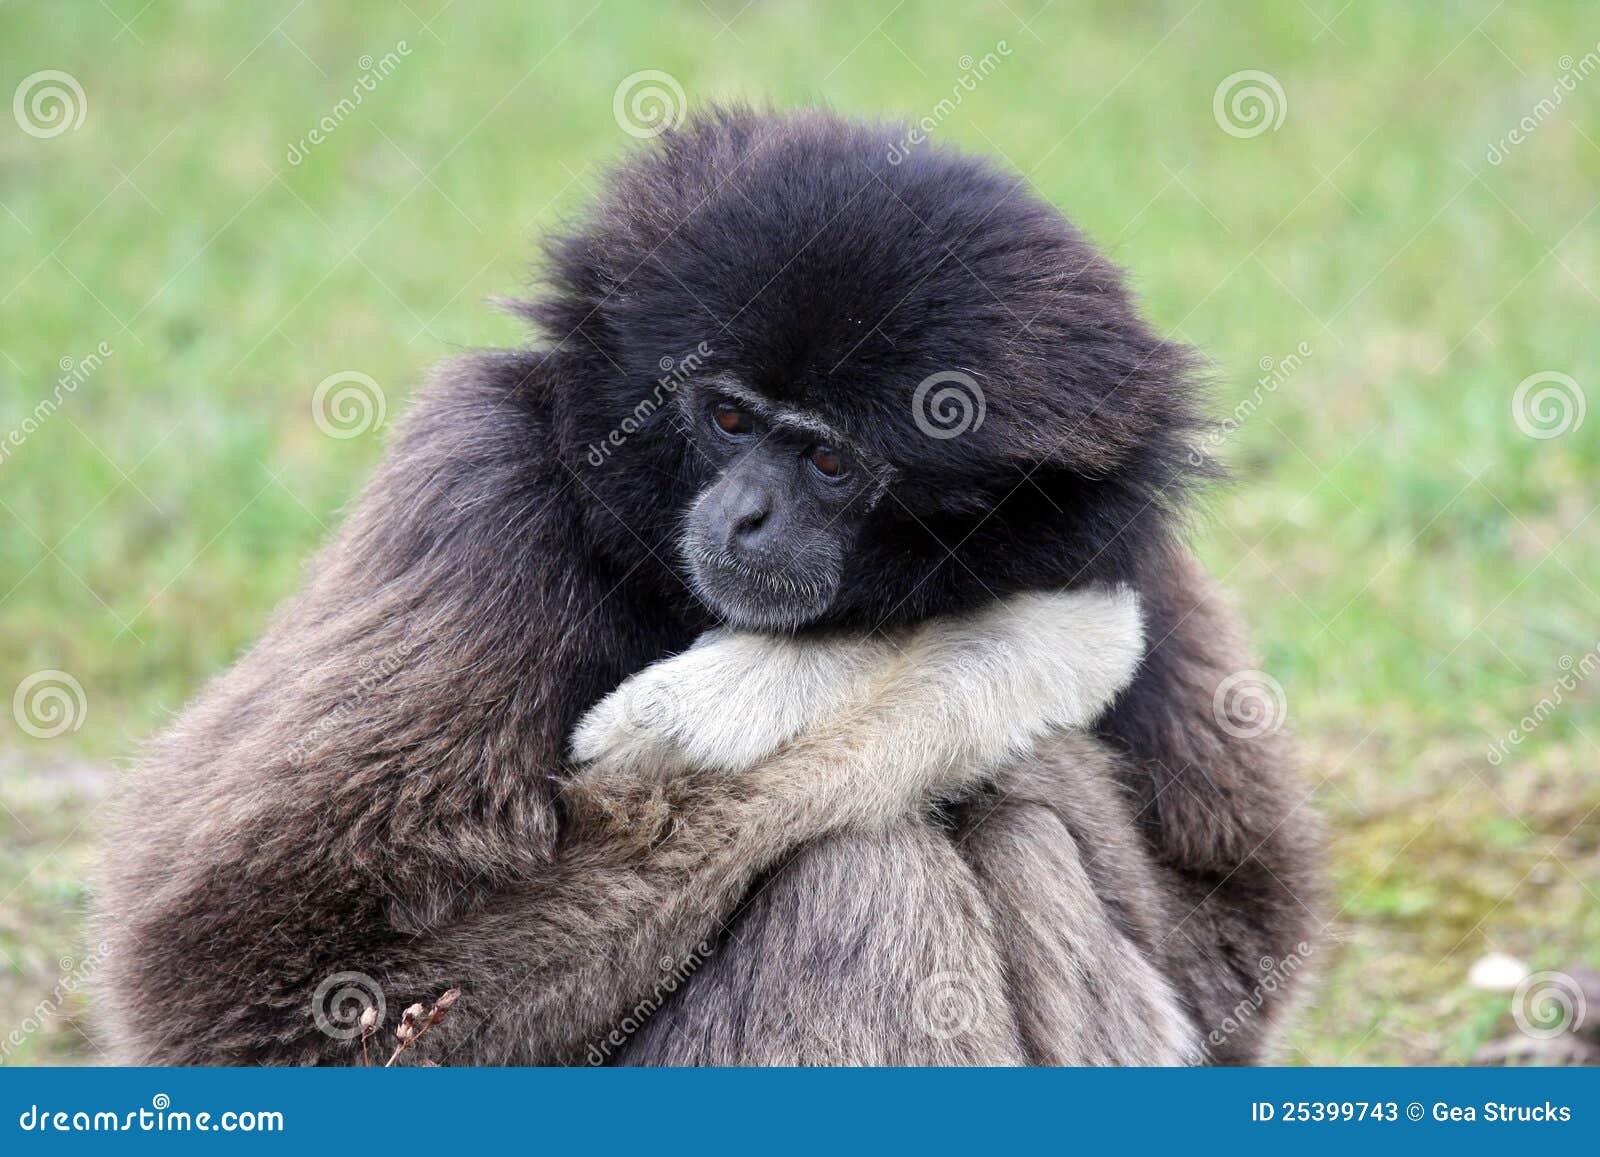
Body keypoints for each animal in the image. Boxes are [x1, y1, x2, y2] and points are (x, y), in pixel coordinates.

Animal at [92, 106, 1319, 1065]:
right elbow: (287, 984)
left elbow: (1230, 954)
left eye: (829, 461)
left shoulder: (1127, 545)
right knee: (864, 867)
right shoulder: (484, 476)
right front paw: (995, 652)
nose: (745, 515)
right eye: (727, 416)